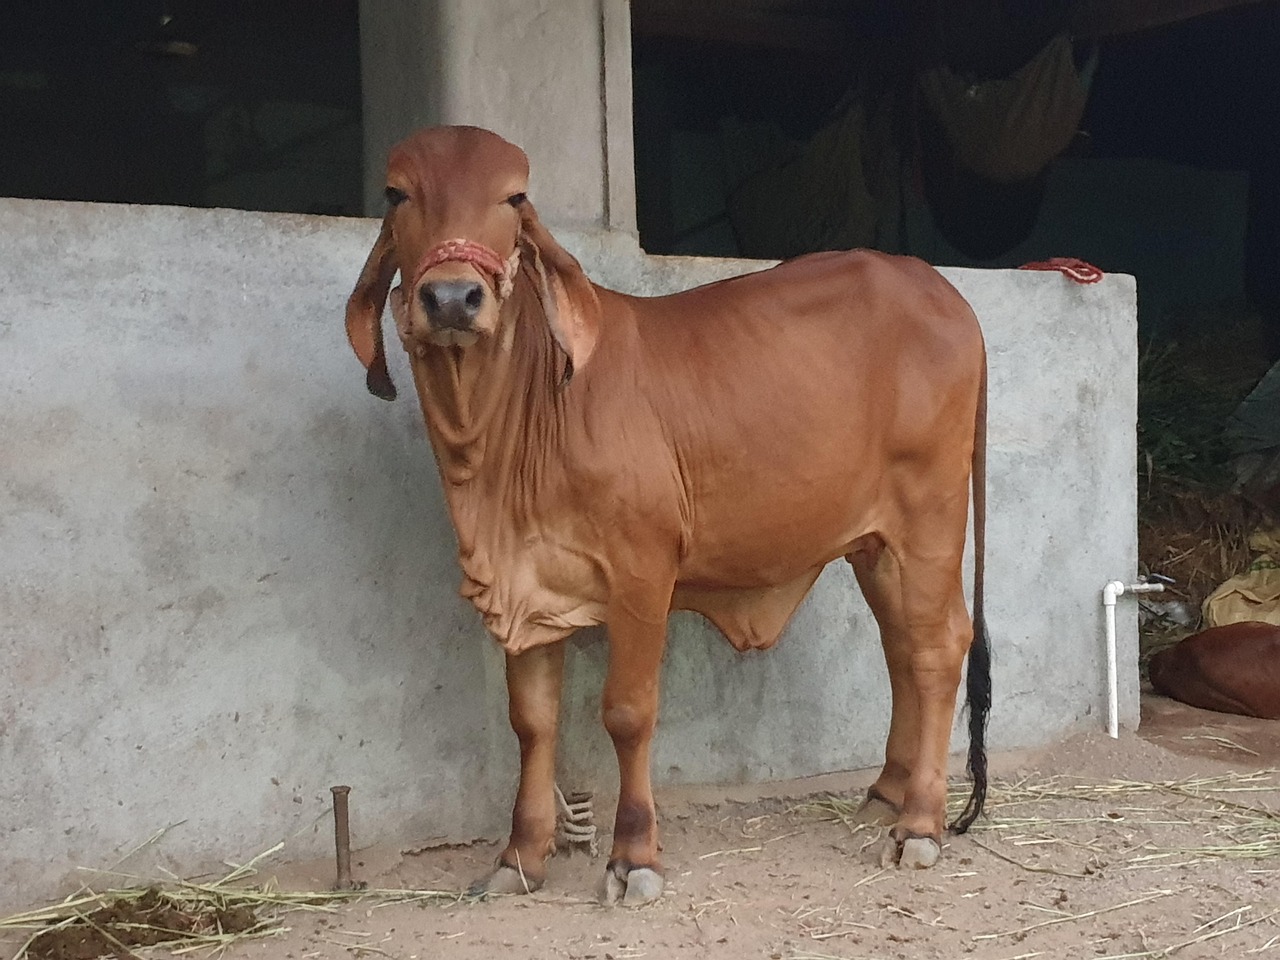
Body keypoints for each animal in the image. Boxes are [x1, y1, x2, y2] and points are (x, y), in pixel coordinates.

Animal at [345, 125, 991, 905]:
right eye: (396, 193)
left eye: (514, 196)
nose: (450, 298)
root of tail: (943, 292)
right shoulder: (528, 582)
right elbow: (532, 723)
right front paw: (519, 858)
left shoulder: (641, 572)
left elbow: (627, 712)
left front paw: (633, 857)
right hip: (874, 543)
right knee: (902, 649)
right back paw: (886, 794)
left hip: (930, 518)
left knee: (938, 646)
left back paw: (921, 823)